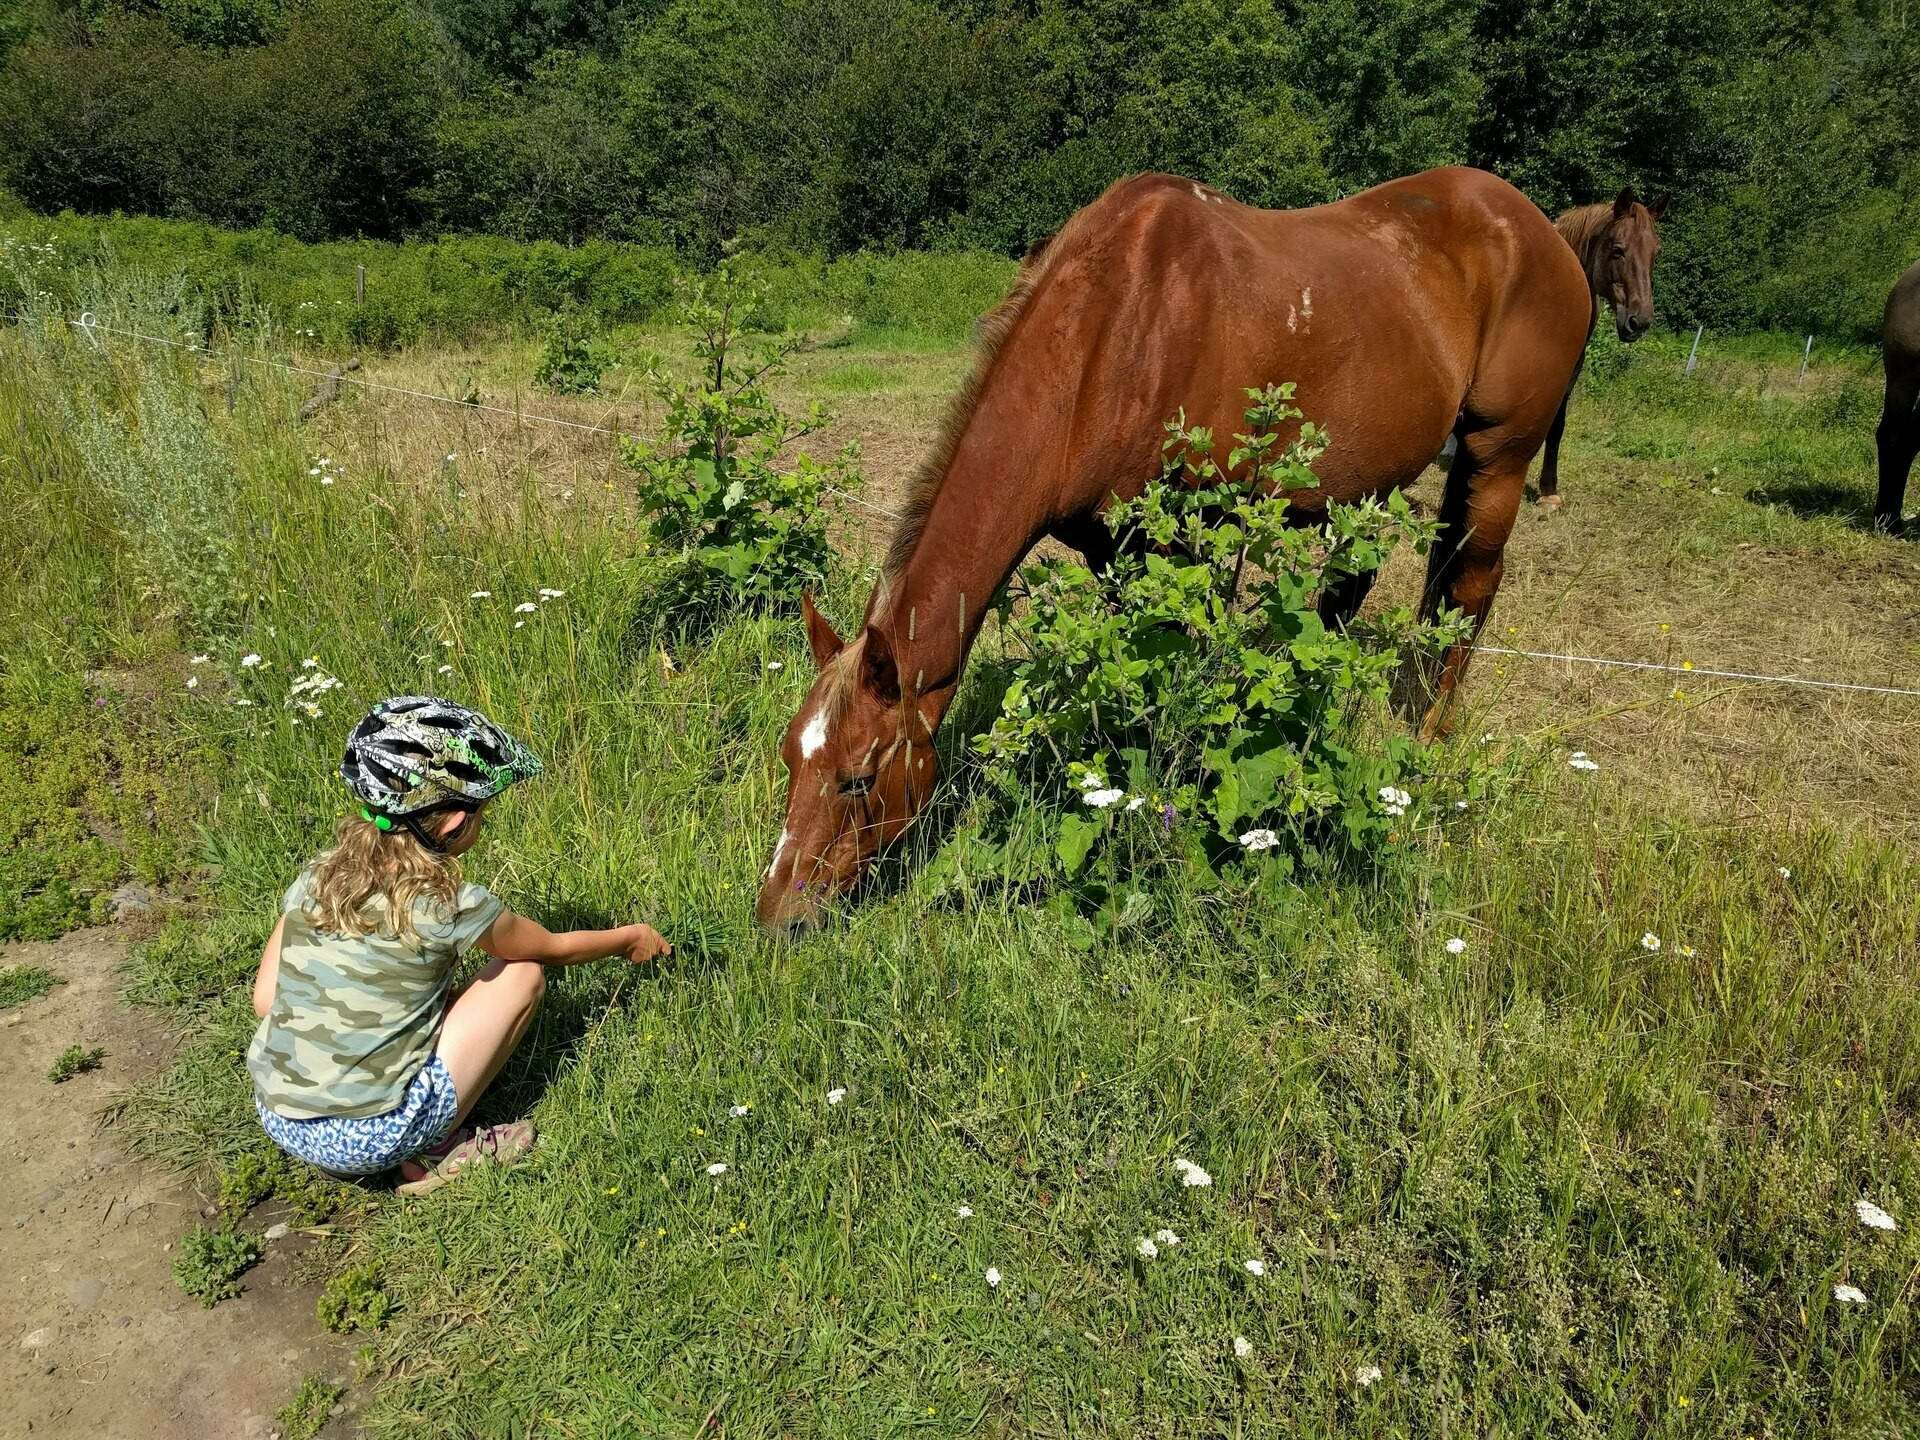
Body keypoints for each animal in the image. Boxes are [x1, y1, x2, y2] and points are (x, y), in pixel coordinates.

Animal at [756, 166, 1592, 934]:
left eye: (858, 779)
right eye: (793, 757)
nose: (775, 916)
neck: (1111, 332)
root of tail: (1538, 230)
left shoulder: (1168, 542)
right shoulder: (1108, 550)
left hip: (1497, 455)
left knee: (1471, 586)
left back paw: (1431, 737)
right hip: (1369, 486)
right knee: (1361, 588)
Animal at [1532, 187, 1668, 506]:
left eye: (1655, 253)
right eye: (1618, 250)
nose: (1639, 321)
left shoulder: (1570, 368)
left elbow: (1556, 425)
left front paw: (1549, 491)